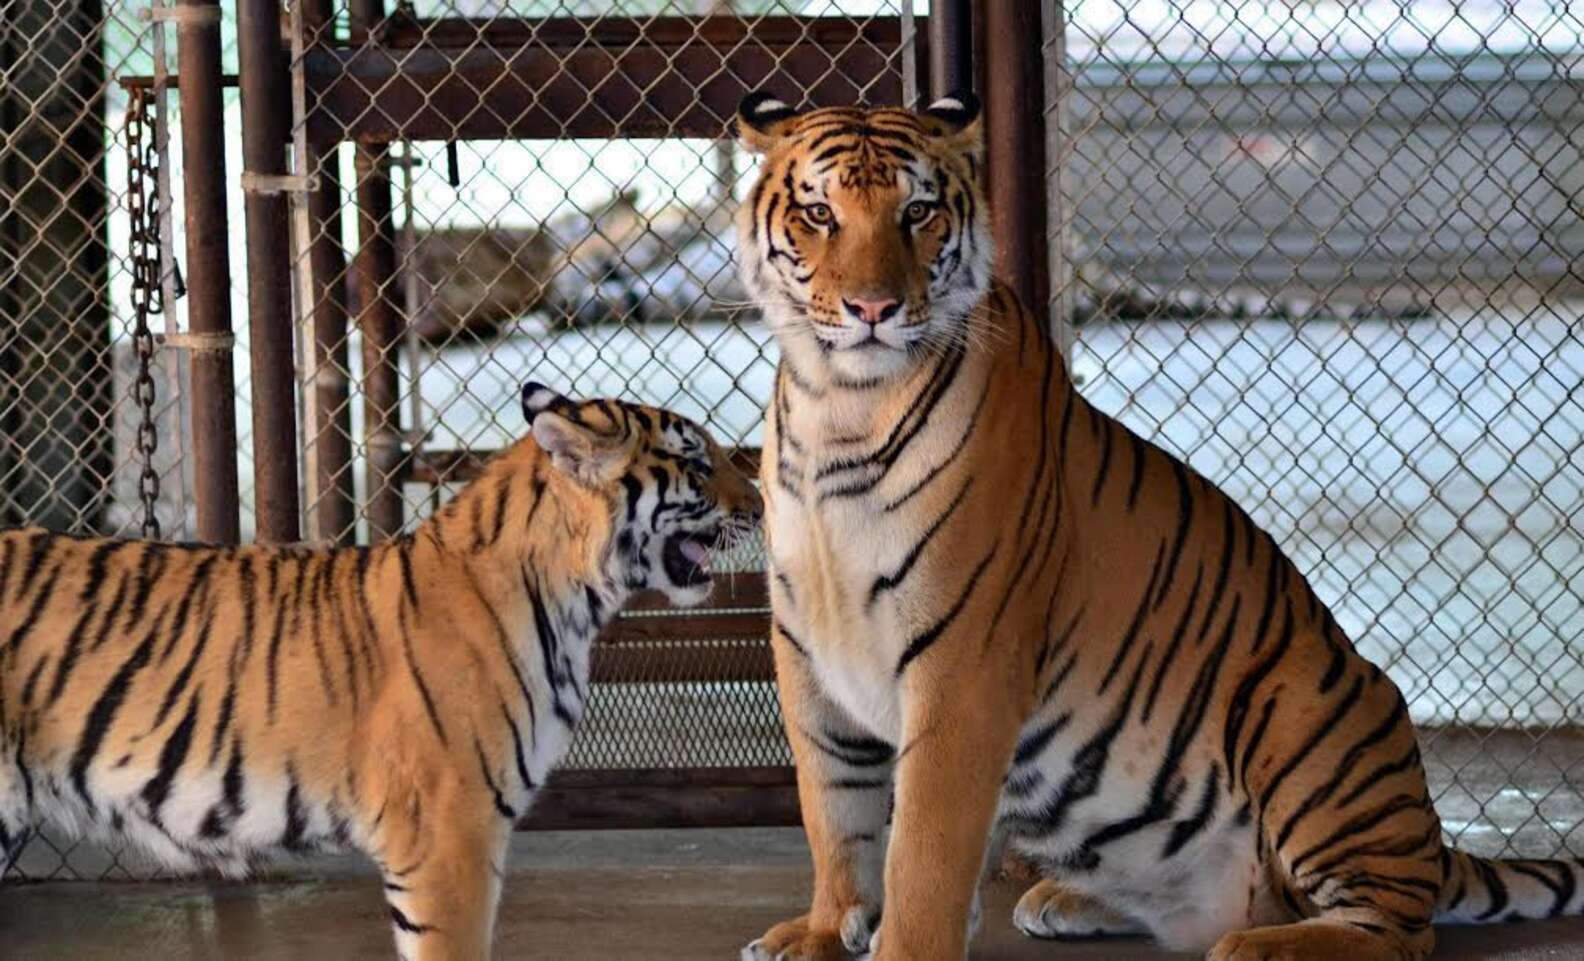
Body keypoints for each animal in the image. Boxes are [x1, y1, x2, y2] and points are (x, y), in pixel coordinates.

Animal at [733, 90, 1584, 961]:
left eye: (918, 212)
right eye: (819, 213)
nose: (874, 309)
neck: (842, 402)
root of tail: (1432, 844)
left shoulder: (963, 661)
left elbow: (924, 851)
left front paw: (903, 945)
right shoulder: (806, 649)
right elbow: (835, 812)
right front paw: (826, 928)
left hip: (1303, 713)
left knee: (1394, 929)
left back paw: (1264, 945)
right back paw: (1072, 898)